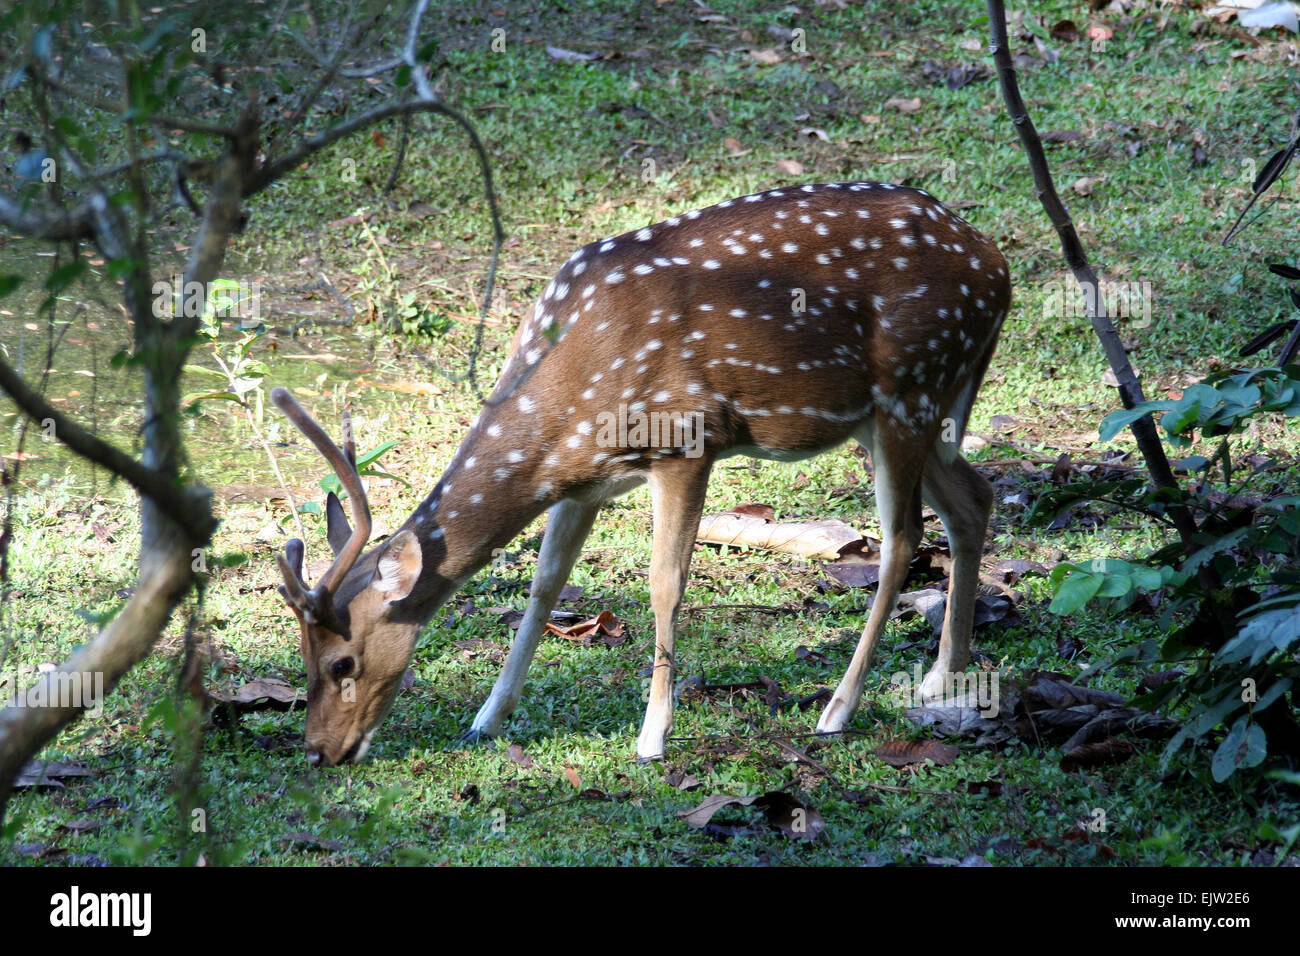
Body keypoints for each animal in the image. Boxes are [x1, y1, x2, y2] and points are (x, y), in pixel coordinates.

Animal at [272, 181, 1011, 766]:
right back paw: (943, 675)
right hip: (907, 413)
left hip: (911, 389)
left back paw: (839, 709)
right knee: (974, 499)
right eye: (301, 657)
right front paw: (486, 718)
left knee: (902, 538)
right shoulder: (583, 482)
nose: (318, 751)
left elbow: (665, 584)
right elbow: (545, 582)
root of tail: (998, 266)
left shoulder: (685, 438)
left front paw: (652, 736)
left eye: (342, 661)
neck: (572, 394)